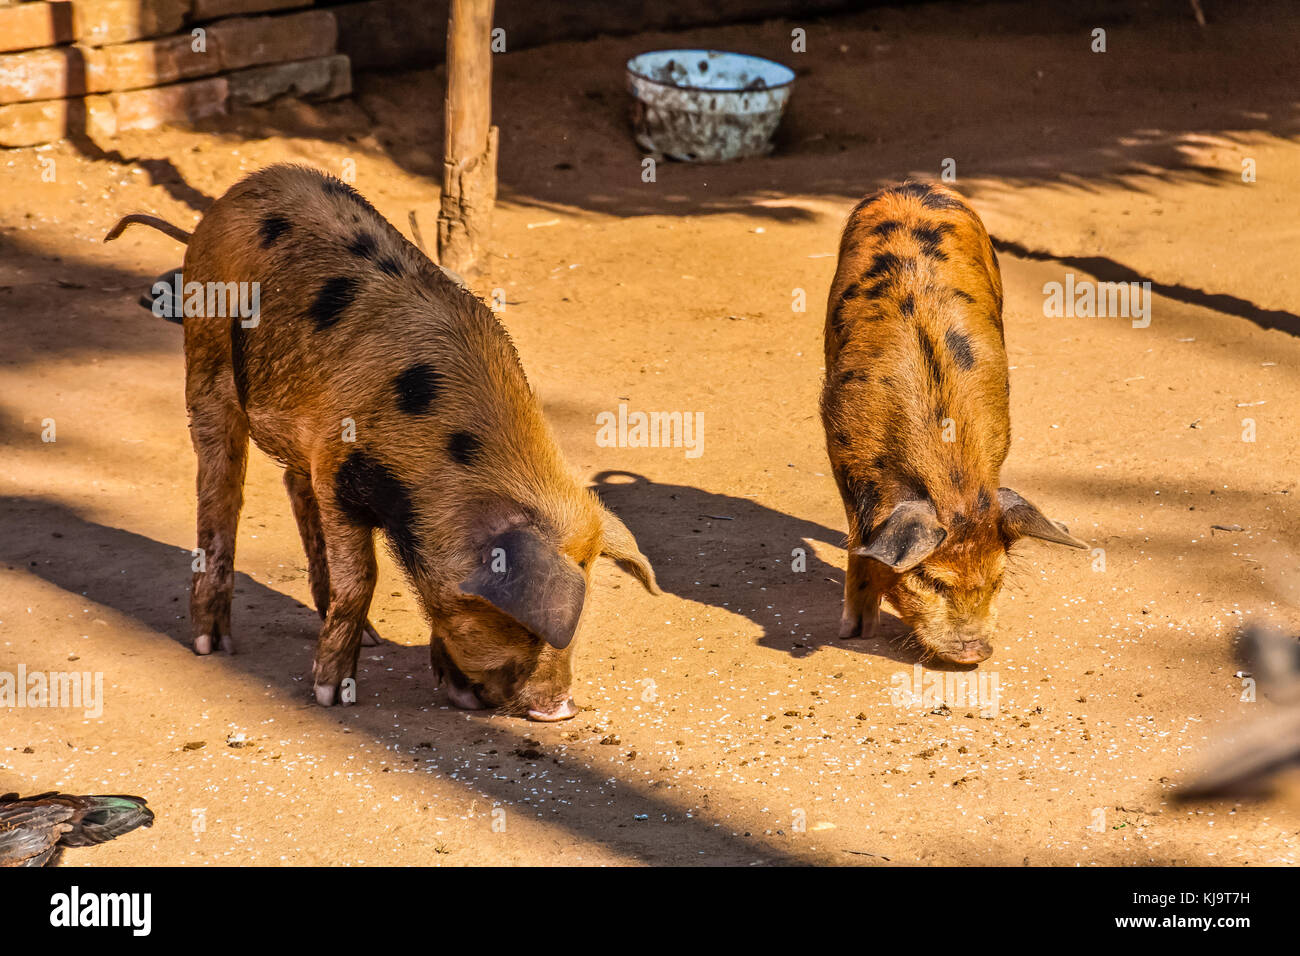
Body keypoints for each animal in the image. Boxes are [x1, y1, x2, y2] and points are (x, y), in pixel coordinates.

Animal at [106, 163, 658, 720]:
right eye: (520, 622)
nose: (562, 707)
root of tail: (223, 205)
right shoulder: (339, 472)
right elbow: (362, 577)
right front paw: (329, 695)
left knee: (292, 486)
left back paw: (368, 636)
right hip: (208, 353)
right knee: (219, 485)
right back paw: (213, 645)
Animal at [821, 181, 1086, 666]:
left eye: (998, 579)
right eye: (930, 580)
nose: (975, 653)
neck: (952, 479)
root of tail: (913, 187)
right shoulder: (840, 445)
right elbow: (860, 544)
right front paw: (856, 633)